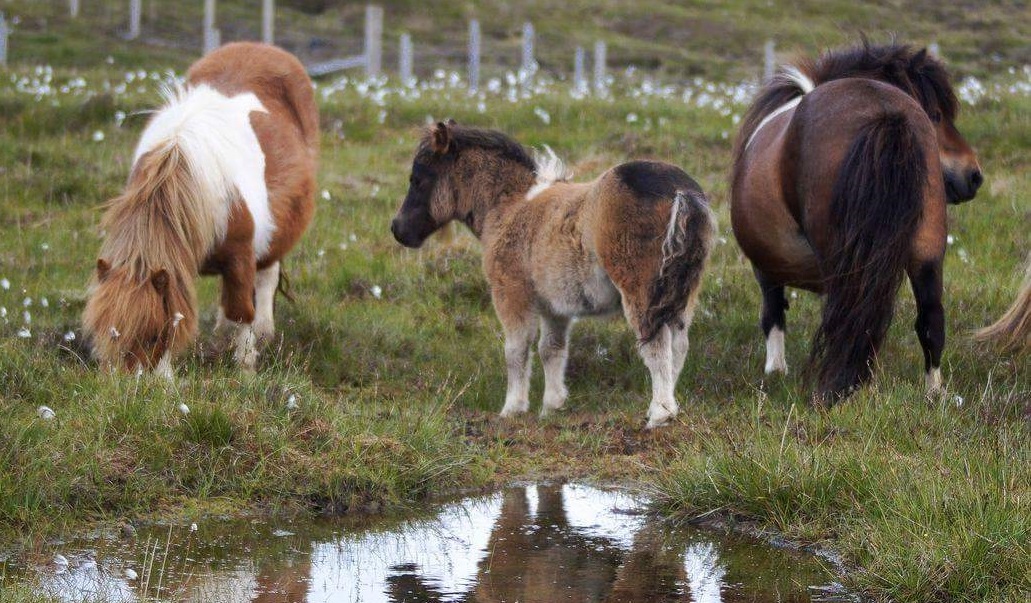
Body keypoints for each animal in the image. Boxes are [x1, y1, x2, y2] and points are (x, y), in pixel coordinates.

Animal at [83, 43, 319, 376]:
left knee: (265, 278)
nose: (127, 384)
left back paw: (263, 331)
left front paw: (245, 367)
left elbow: (242, 310)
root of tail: (262, 47)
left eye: (153, 335)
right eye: (105, 331)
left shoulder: (240, 257)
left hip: (275, 236)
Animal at [391, 121, 713, 428]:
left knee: (656, 346)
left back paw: (660, 415)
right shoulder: (554, 306)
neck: (510, 206)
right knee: (678, 345)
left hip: (640, 290)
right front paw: (552, 406)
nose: (398, 230)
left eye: (418, 178)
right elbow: (551, 349)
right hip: (684, 292)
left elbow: (516, 350)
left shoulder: (510, 293)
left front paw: (512, 409)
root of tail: (681, 192)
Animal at [730, 41, 983, 401]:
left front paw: (775, 371)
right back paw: (933, 393)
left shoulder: (765, 266)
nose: (973, 176)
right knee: (928, 320)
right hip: (929, 250)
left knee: (849, 318)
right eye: (936, 114)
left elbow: (772, 314)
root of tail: (885, 112)